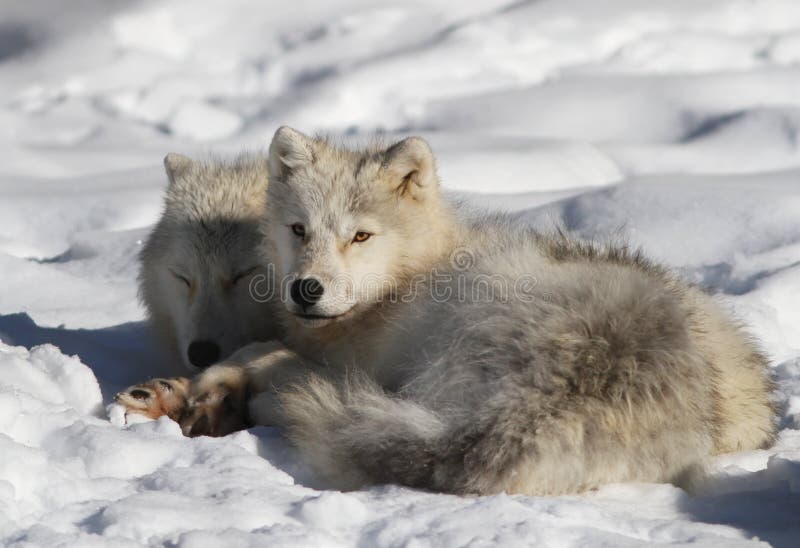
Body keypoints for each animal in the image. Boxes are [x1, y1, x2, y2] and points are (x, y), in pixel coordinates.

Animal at [120, 128, 776, 495]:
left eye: (360, 236)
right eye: (298, 230)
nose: (305, 290)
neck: (407, 279)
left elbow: (262, 355)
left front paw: (209, 387)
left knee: (292, 381)